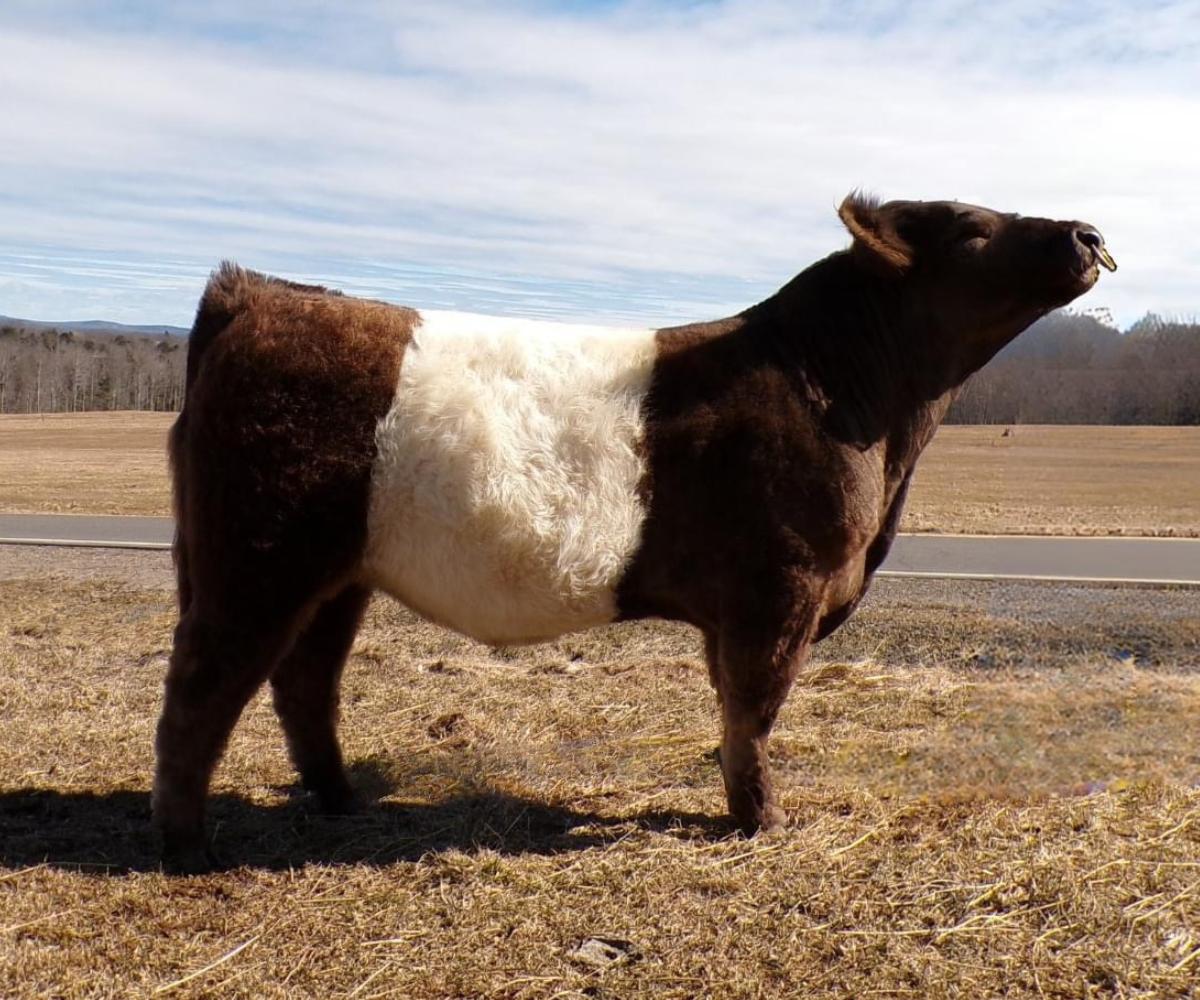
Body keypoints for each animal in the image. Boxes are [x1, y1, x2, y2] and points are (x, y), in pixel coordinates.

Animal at [154, 194, 1115, 871]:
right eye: (973, 228)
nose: (1089, 235)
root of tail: (254, 294)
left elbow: (733, 708)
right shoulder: (782, 587)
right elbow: (754, 711)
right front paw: (762, 819)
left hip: (337, 574)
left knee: (304, 681)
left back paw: (342, 798)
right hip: (257, 563)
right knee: (203, 689)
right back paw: (187, 847)